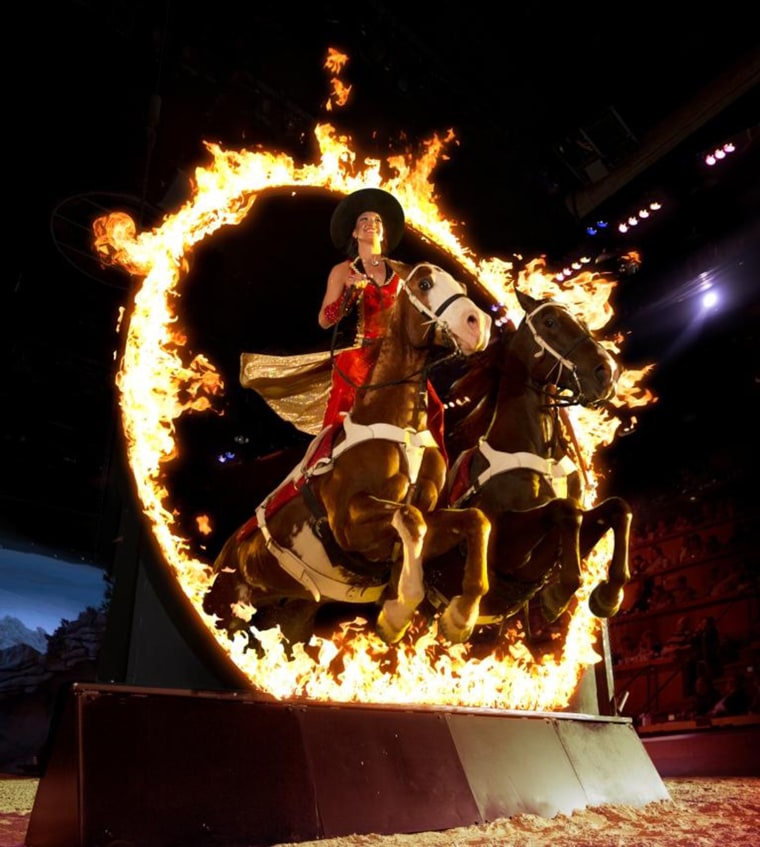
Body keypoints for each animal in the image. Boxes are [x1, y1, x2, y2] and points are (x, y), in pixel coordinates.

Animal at [203, 262, 493, 651]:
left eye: (460, 283)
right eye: (424, 283)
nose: (478, 324)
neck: (401, 427)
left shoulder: (424, 526)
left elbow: (475, 520)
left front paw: (460, 618)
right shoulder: (347, 524)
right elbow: (410, 517)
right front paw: (398, 612)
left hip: (291, 616)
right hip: (225, 605)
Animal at [424, 287, 633, 637]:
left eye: (581, 319)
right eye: (550, 321)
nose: (606, 373)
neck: (539, 454)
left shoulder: (538, 563)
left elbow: (618, 508)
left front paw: (608, 596)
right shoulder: (507, 553)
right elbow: (565, 510)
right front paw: (558, 594)